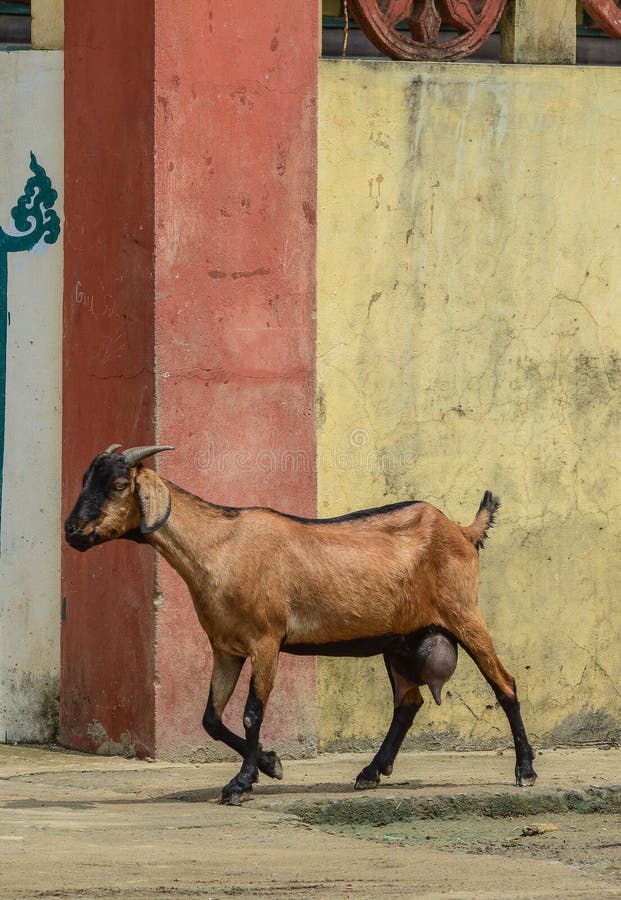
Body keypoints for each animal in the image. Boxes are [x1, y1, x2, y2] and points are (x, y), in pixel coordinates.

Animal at [65, 444, 537, 804]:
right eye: (87, 478)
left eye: (119, 484)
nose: (72, 531)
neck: (219, 546)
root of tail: (461, 530)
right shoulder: (225, 647)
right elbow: (211, 719)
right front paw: (270, 765)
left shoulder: (265, 640)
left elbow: (252, 714)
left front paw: (241, 783)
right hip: (401, 639)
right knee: (408, 702)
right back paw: (370, 771)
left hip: (464, 612)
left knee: (504, 683)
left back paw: (525, 769)